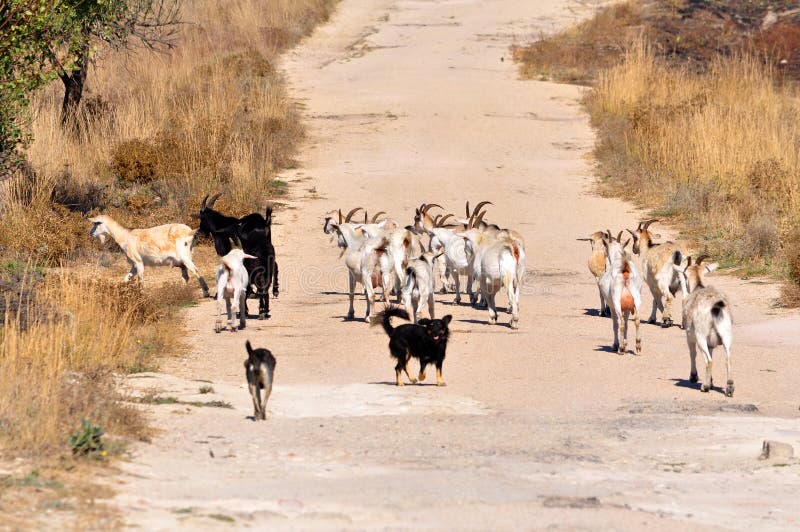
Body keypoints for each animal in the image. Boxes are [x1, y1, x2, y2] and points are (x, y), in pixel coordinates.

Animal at [681, 255, 734, 396]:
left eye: (684, 274)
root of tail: (716, 307)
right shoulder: (711, 344)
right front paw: (711, 381)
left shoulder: (689, 335)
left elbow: (692, 353)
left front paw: (694, 377)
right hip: (726, 334)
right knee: (728, 358)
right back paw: (729, 387)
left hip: (701, 336)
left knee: (709, 361)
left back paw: (704, 387)